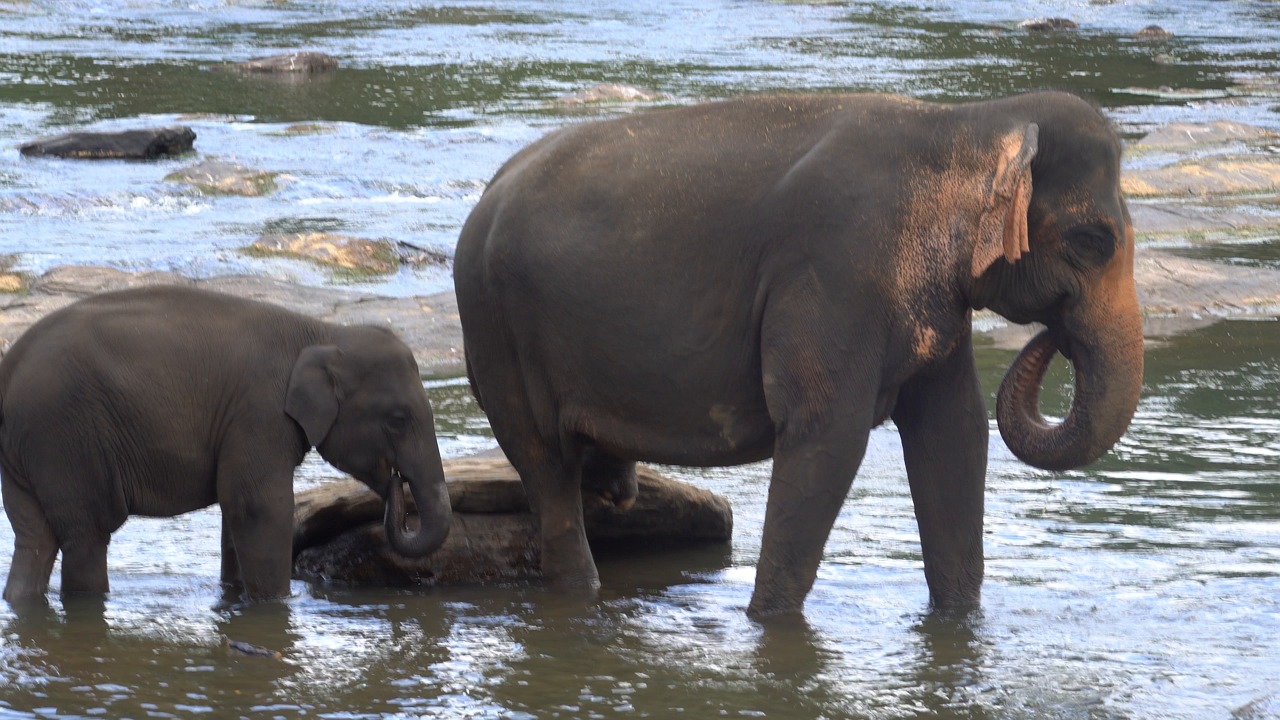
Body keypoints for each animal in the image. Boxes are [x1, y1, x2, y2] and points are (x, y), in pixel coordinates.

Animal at [0, 285, 451, 605]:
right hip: (64, 437)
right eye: (397, 419)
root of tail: (10, 368)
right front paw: (275, 605)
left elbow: (234, 513)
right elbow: (258, 507)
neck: (322, 333)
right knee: (87, 536)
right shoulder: (259, 412)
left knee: (34, 538)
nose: (395, 481)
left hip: (27, 449)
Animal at [453, 91, 1144, 619]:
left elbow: (953, 434)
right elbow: (827, 433)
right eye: (1093, 240)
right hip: (494, 323)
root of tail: (486, 195)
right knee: (545, 465)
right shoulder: (838, 269)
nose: (1055, 335)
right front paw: (769, 624)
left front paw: (960, 625)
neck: (963, 120)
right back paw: (579, 592)